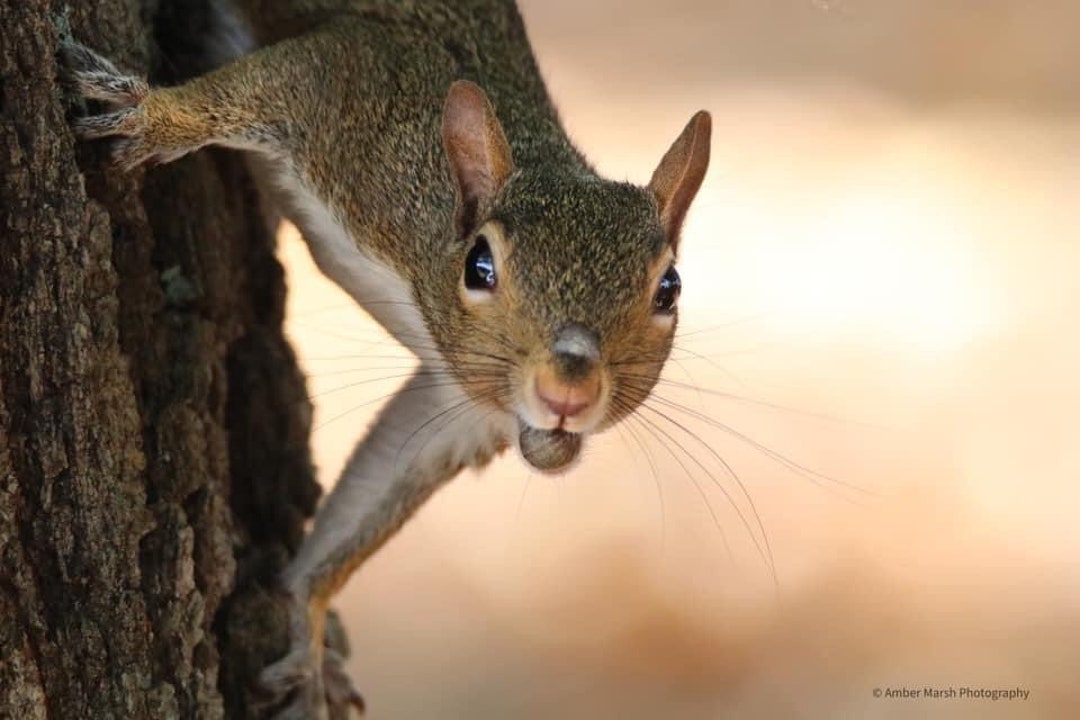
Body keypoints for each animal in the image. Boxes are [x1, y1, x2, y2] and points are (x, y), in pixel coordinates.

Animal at [64, 0, 710, 716]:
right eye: (479, 265)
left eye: (669, 288)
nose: (567, 395)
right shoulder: (359, 94)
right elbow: (272, 81)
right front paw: (153, 115)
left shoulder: (461, 404)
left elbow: (383, 480)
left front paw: (307, 628)